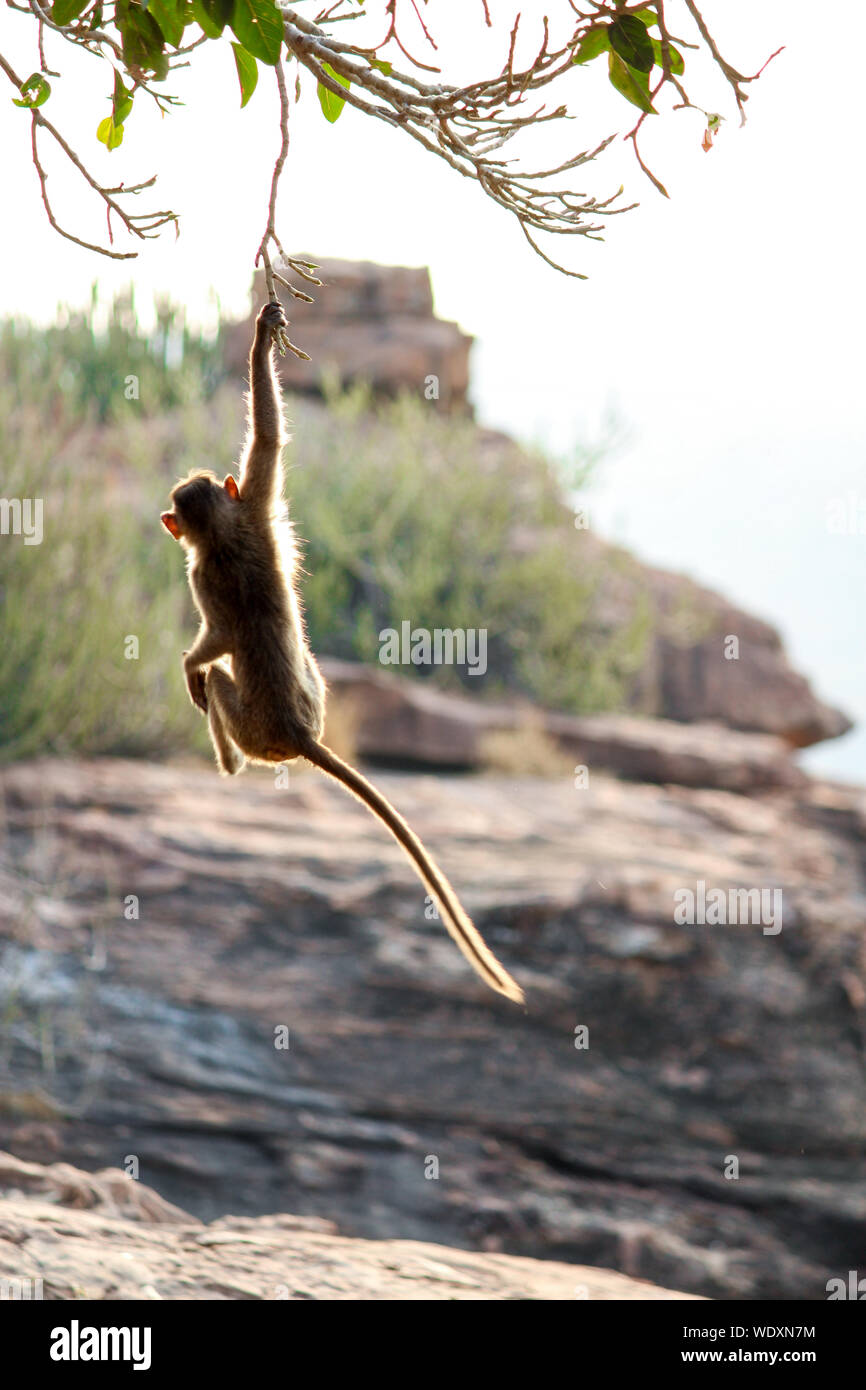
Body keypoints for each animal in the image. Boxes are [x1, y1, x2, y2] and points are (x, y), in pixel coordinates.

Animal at [160, 301, 524, 1006]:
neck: (223, 533)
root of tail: (299, 735)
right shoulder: (254, 505)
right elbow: (269, 443)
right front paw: (265, 333)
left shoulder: (206, 566)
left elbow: (216, 639)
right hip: (315, 697)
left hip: (254, 730)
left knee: (218, 683)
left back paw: (227, 763)